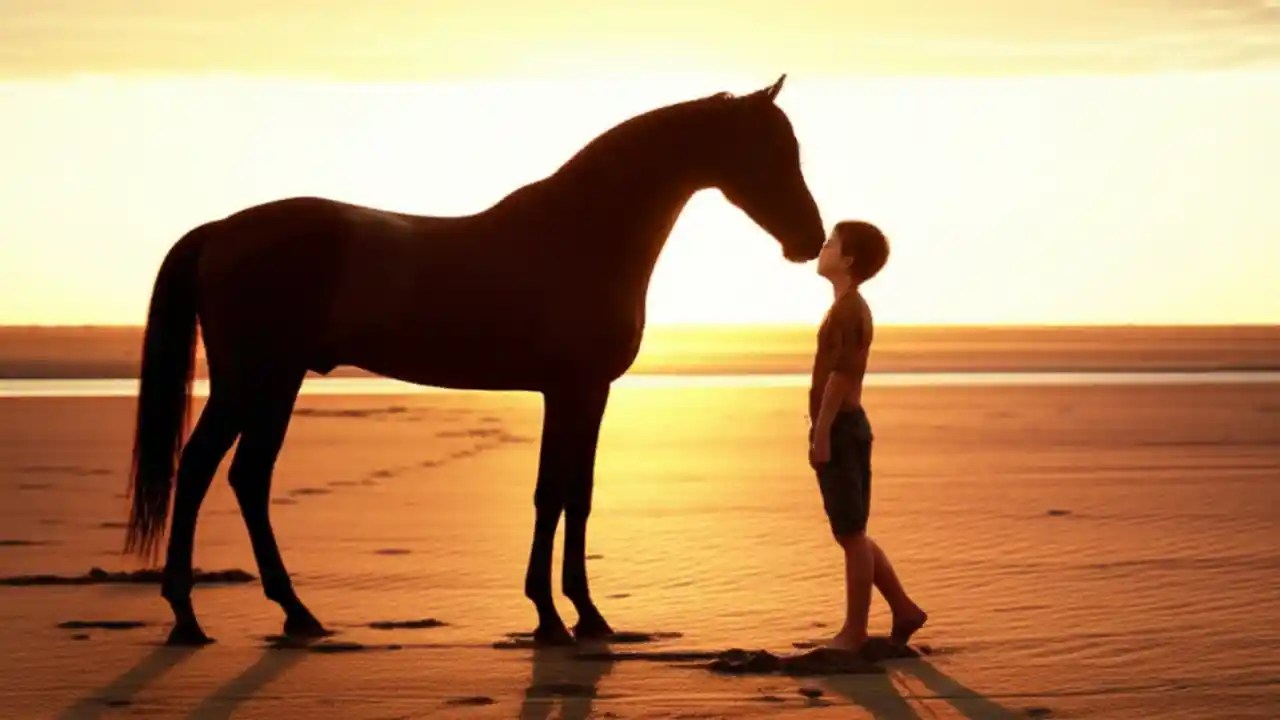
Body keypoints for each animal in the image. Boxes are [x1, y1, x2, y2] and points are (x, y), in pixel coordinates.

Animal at [125, 74, 825, 646]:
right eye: (768, 151)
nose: (811, 240)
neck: (581, 233)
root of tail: (221, 230)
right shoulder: (572, 389)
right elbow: (551, 493)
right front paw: (550, 617)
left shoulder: (586, 393)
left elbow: (577, 494)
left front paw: (587, 616)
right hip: (256, 381)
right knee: (209, 469)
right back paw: (196, 616)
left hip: (271, 382)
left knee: (239, 474)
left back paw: (286, 614)